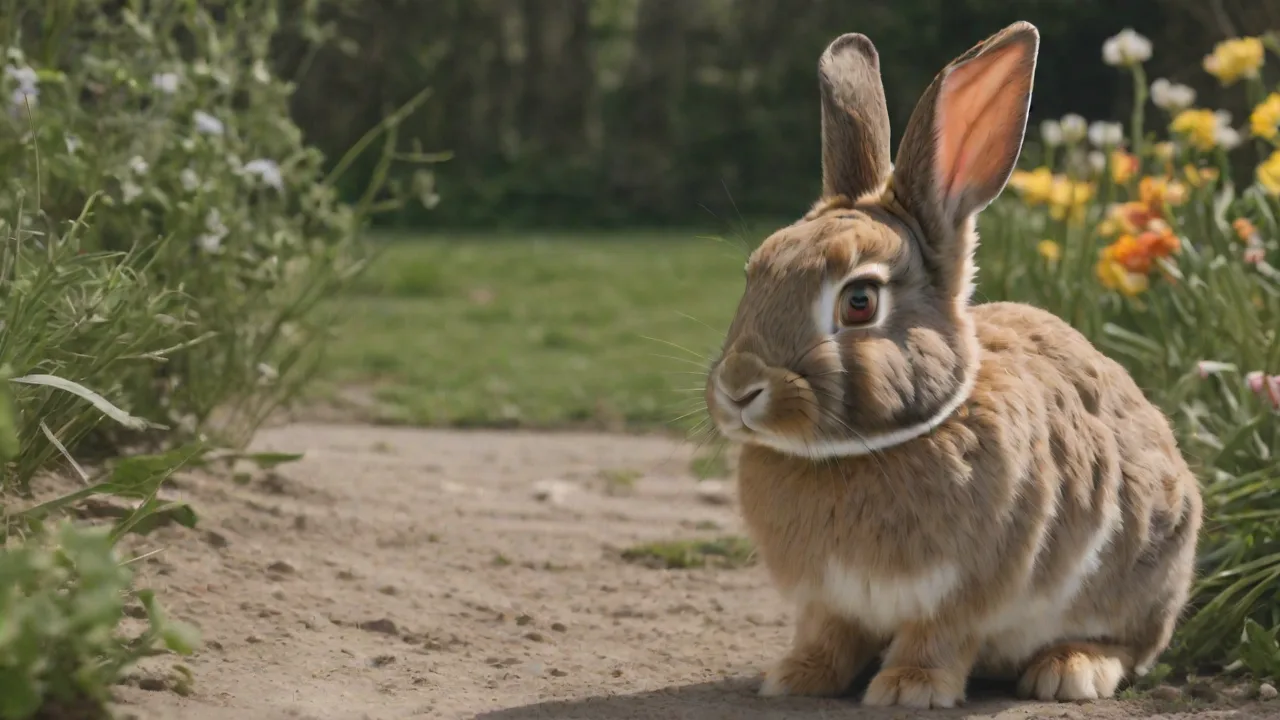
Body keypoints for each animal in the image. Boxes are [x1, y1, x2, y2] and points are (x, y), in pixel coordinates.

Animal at [702, 21, 1202, 709]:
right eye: (755, 273)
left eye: (859, 301)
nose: (738, 388)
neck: (861, 450)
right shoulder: (829, 602)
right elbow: (829, 634)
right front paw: (797, 677)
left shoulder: (966, 591)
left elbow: (937, 636)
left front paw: (907, 689)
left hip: (1142, 570)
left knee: (1128, 645)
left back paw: (1069, 670)